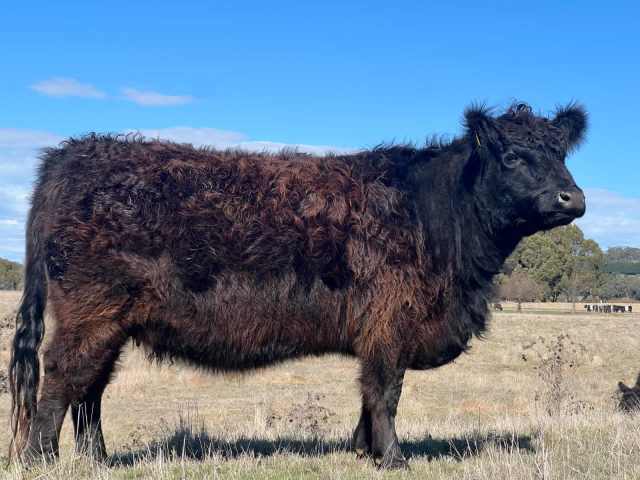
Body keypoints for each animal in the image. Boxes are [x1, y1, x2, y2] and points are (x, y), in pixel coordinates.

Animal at [9, 102, 587, 468]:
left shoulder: (378, 330)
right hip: (90, 311)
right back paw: (42, 459)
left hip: (110, 322)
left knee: (90, 389)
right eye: (512, 156)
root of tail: (73, 153)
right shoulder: (390, 321)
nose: (573, 198)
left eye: (561, 155)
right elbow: (386, 391)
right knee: (62, 377)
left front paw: (362, 451)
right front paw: (393, 458)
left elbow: (369, 394)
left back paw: (99, 460)